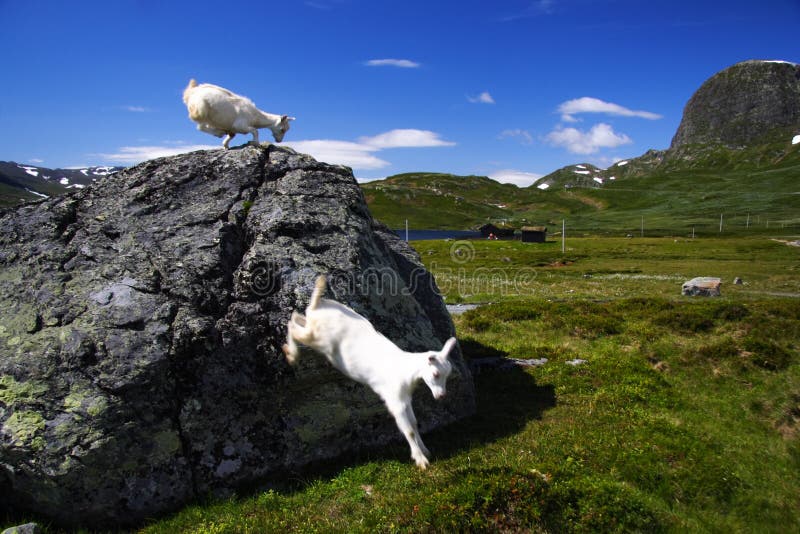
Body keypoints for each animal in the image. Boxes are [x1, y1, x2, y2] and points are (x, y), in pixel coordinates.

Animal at [283, 275, 457, 469]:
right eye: (435, 374)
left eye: (447, 375)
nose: (441, 396)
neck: (406, 370)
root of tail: (317, 305)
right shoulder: (394, 399)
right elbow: (409, 430)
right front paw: (420, 460)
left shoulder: (405, 398)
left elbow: (414, 423)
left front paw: (425, 451)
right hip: (318, 338)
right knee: (293, 326)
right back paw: (291, 354)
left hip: (312, 327)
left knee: (297, 317)